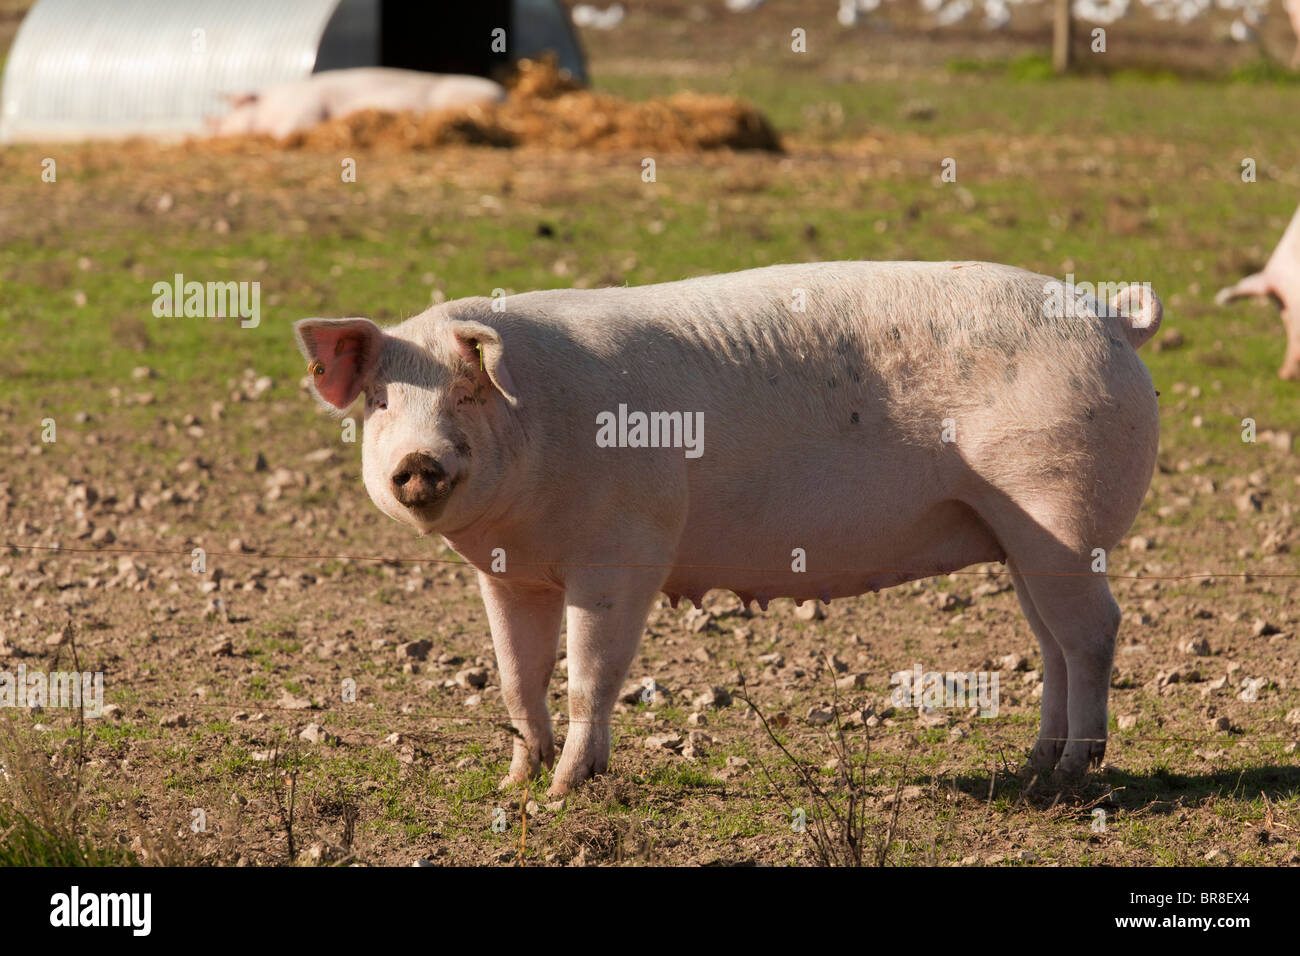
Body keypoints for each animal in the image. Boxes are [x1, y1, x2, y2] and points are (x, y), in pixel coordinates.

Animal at [294, 261, 1162, 795]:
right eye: (380, 399)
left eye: (469, 393)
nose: (419, 462)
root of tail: (1112, 320)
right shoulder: (507, 573)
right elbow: (517, 677)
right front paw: (515, 782)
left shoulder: (627, 549)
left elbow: (589, 676)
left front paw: (566, 790)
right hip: (1021, 537)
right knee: (1051, 641)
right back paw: (1035, 765)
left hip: (1058, 508)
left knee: (1095, 632)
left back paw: (1074, 773)